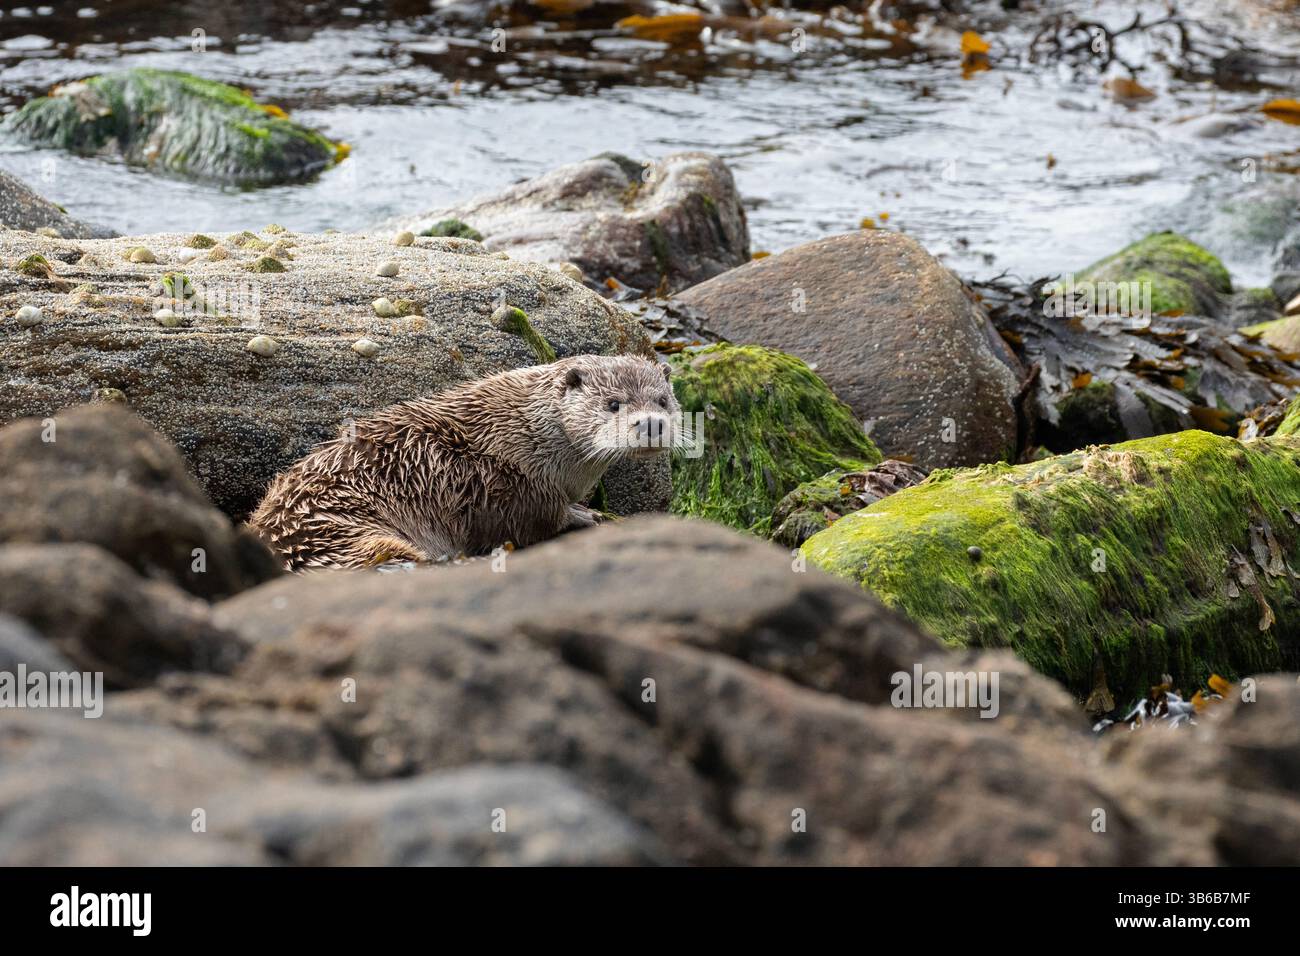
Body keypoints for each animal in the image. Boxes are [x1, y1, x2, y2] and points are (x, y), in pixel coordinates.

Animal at [249, 354, 680, 570]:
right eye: (613, 404)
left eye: (663, 400)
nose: (652, 423)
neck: (522, 437)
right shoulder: (501, 484)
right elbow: (532, 520)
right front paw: (584, 515)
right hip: (338, 536)